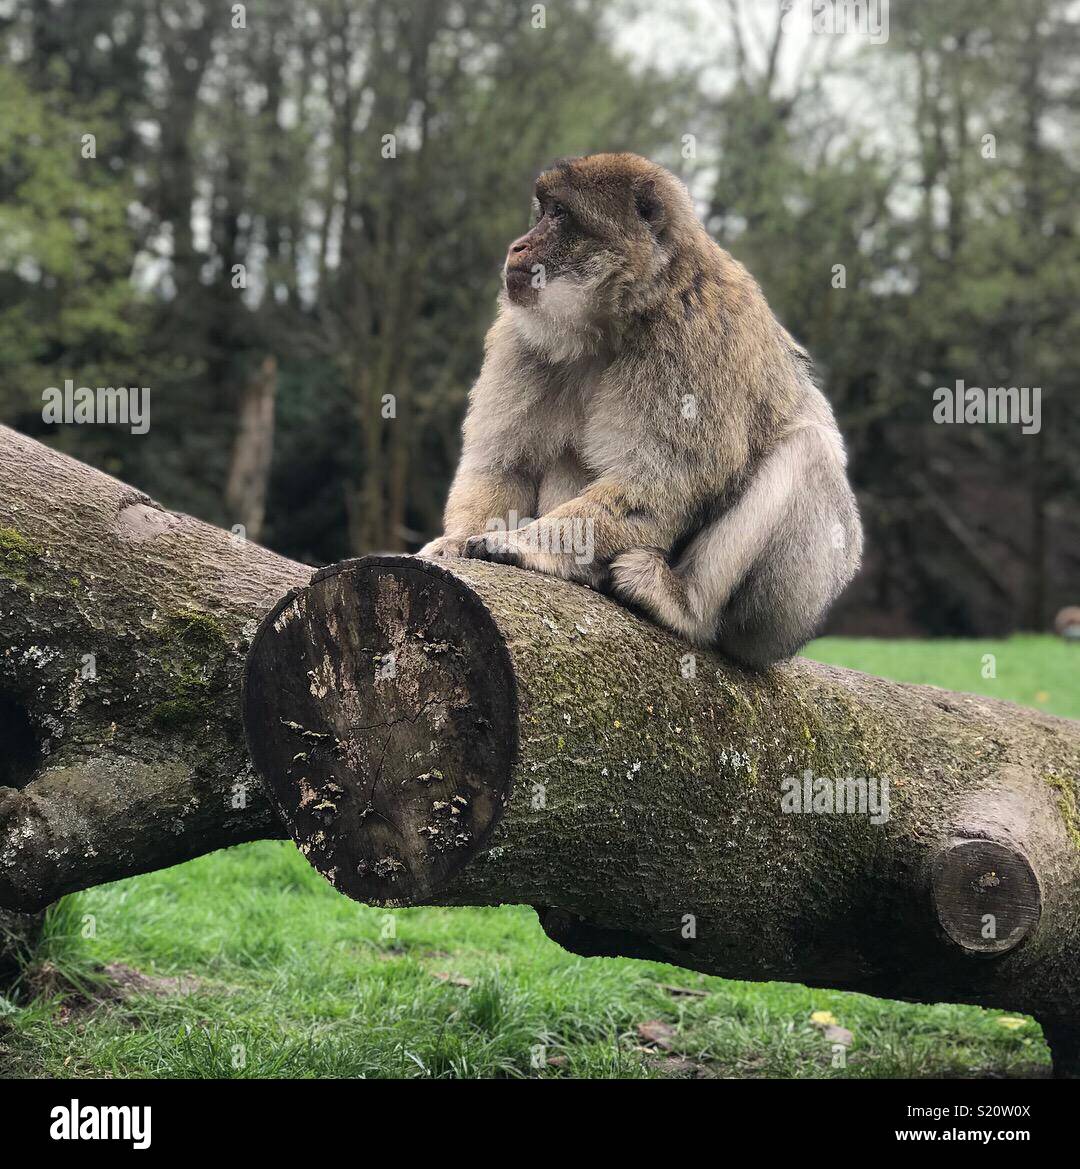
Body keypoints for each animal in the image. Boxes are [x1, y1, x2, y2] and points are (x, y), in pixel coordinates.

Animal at [418, 152, 862, 670]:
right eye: (543, 210)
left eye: (561, 214)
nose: (518, 246)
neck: (617, 320)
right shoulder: (520, 336)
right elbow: (505, 464)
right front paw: (458, 540)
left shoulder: (692, 341)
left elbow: (661, 480)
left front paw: (526, 545)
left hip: (790, 606)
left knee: (809, 448)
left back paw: (686, 605)